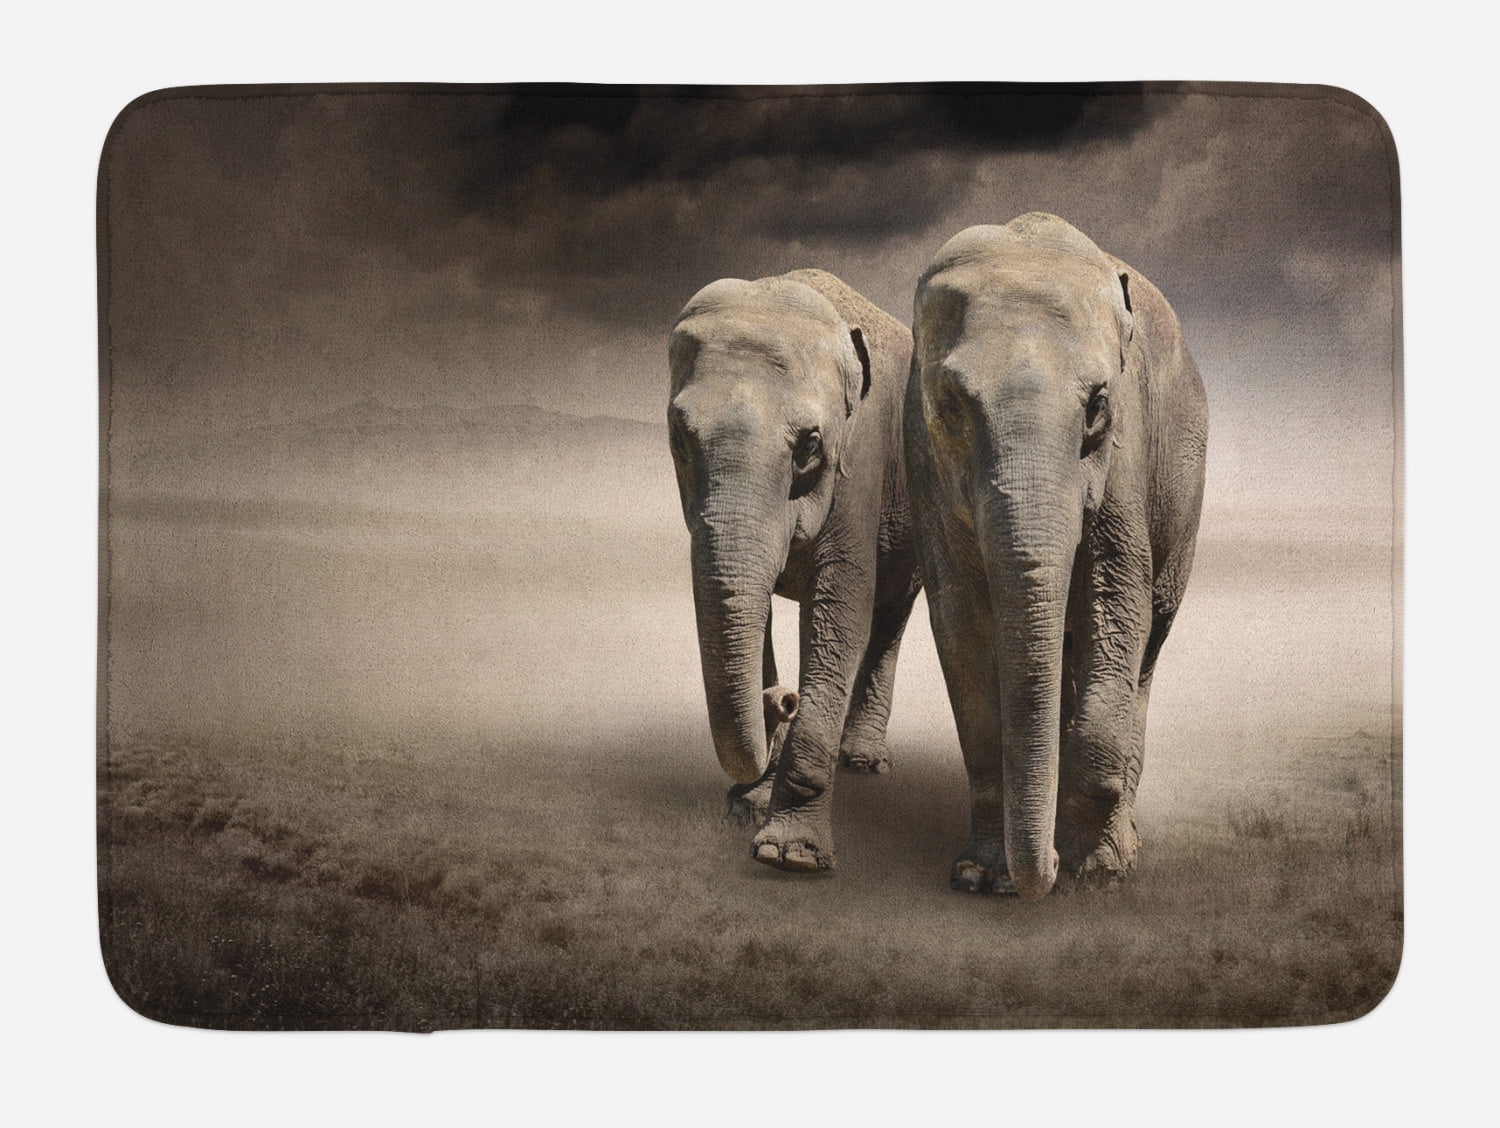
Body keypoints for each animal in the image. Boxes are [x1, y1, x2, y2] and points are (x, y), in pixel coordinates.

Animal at [668, 269, 921, 872]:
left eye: (810, 444)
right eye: (679, 439)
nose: (783, 699)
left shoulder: (862, 464)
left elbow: (841, 614)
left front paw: (790, 855)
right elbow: (742, 607)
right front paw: (749, 807)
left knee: (890, 612)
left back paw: (863, 762)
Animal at [903, 213, 1207, 901]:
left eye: (1097, 406)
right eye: (950, 407)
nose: (1040, 876)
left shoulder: (1125, 456)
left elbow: (1118, 603)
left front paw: (1093, 869)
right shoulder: (924, 465)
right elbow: (961, 626)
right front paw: (981, 877)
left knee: (1148, 646)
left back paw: (1115, 843)